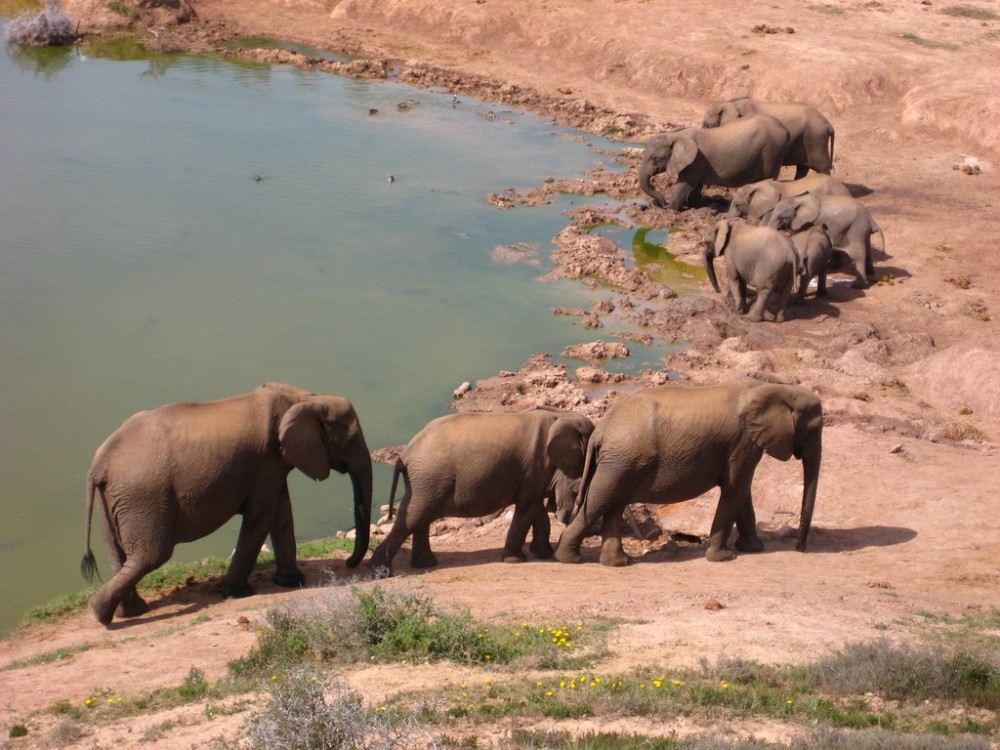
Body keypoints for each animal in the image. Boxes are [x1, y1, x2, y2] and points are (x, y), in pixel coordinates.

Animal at [80, 382, 373, 626]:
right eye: (350, 440)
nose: (349, 563)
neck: (306, 398)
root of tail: (98, 465)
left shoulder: (273, 465)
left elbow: (280, 515)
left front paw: (291, 583)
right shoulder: (266, 462)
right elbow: (261, 517)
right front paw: (238, 593)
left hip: (115, 499)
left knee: (119, 553)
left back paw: (127, 612)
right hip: (144, 497)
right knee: (152, 555)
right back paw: (102, 614)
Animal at [368, 408, 594, 574]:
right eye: (576, 491)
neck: (562, 415)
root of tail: (406, 454)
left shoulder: (536, 475)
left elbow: (536, 508)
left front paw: (542, 554)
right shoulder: (537, 466)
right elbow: (528, 508)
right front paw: (516, 560)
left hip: (424, 482)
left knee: (420, 516)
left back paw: (425, 565)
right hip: (428, 477)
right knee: (415, 517)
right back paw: (380, 571)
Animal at [554, 376, 823, 566]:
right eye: (814, 428)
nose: (801, 548)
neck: (777, 388)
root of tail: (600, 430)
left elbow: (742, 492)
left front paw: (753, 549)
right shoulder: (742, 442)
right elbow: (736, 489)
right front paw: (725, 557)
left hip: (622, 461)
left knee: (613, 503)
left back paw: (618, 563)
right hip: (622, 459)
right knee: (600, 500)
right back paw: (569, 559)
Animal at [638, 114, 791, 211]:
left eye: (655, 158)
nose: (661, 203)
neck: (676, 135)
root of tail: (785, 129)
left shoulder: (696, 161)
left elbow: (682, 186)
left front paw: (670, 211)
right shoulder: (698, 165)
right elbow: (695, 188)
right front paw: (693, 207)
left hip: (772, 151)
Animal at [702, 98, 835, 179]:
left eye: (708, 125)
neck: (731, 103)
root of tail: (828, 124)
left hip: (816, 139)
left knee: (822, 168)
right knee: (802, 169)